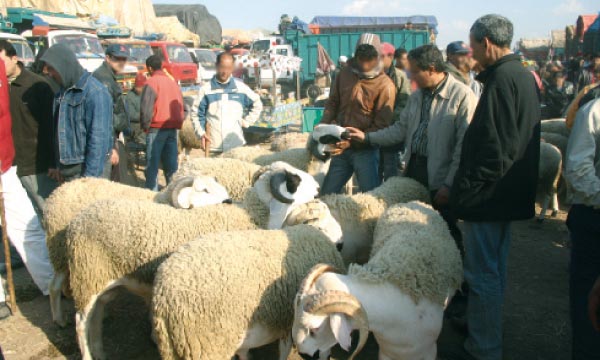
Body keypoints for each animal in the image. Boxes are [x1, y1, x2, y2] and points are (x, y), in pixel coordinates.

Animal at [44, 176, 230, 328]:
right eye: (204, 190)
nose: (228, 201)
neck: (163, 201)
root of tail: (58, 190)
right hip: (63, 251)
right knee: (54, 287)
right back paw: (60, 320)